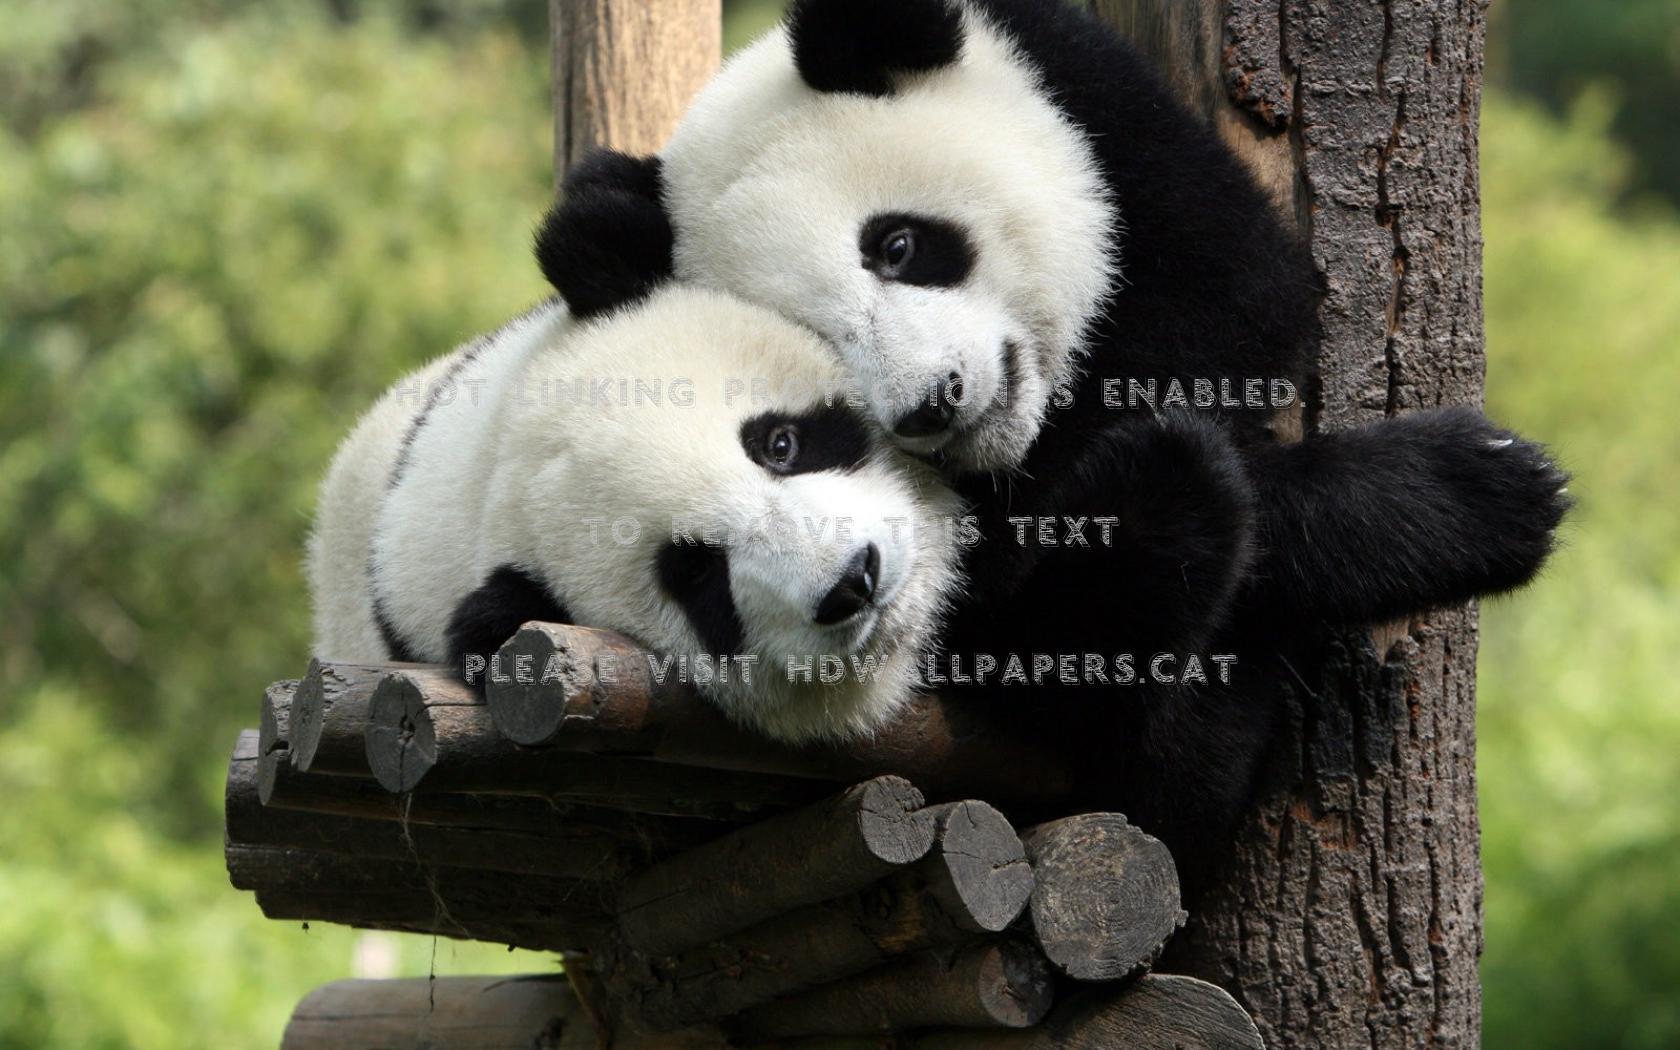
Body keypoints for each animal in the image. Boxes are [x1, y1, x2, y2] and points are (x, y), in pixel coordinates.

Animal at [534, 0, 1570, 874]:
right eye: (818, 343)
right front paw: (1472, 495)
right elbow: (1018, 605)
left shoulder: (1114, 132)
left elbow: (1239, 307)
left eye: (898, 246)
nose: (934, 403)